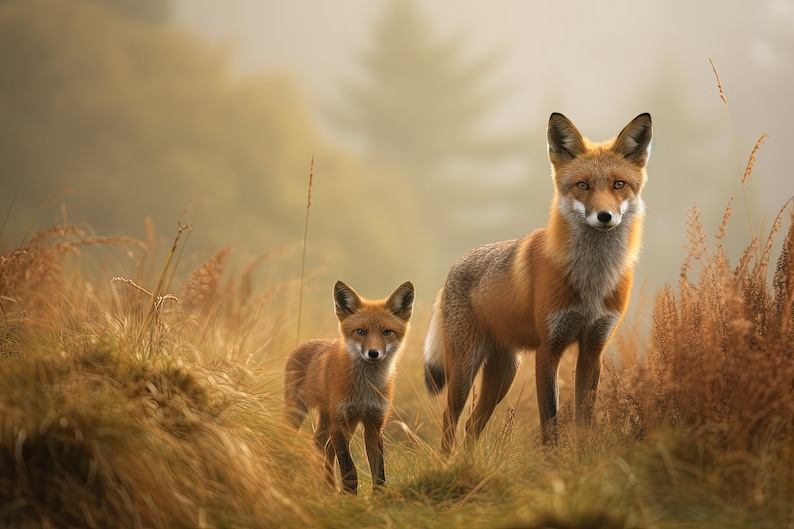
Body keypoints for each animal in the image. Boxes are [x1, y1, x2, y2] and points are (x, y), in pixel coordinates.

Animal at [284, 280, 415, 494]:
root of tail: (305, 343)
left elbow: (378, 471)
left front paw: (378, 496)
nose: (373, 353)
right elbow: (349, 467)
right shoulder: (340, 422)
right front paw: (350, 496)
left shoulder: (373, 424)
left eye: (387, 332)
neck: (365, 389)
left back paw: (328, 488)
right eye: (360, 331)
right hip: (300, 412)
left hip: (341, 422)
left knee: (322, 447)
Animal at [423, 112, 652, 451]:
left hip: (504, 375)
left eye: (618, 184)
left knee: (471, 426)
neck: (591, 282)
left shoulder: (593, 349)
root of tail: (454, 266)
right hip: (465, 370)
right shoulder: (549, 348)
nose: (605, 216)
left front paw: (583, 459)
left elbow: (584, 422)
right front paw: (553, 462)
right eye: (582, 185)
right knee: (450, 422)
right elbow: (550, 425)